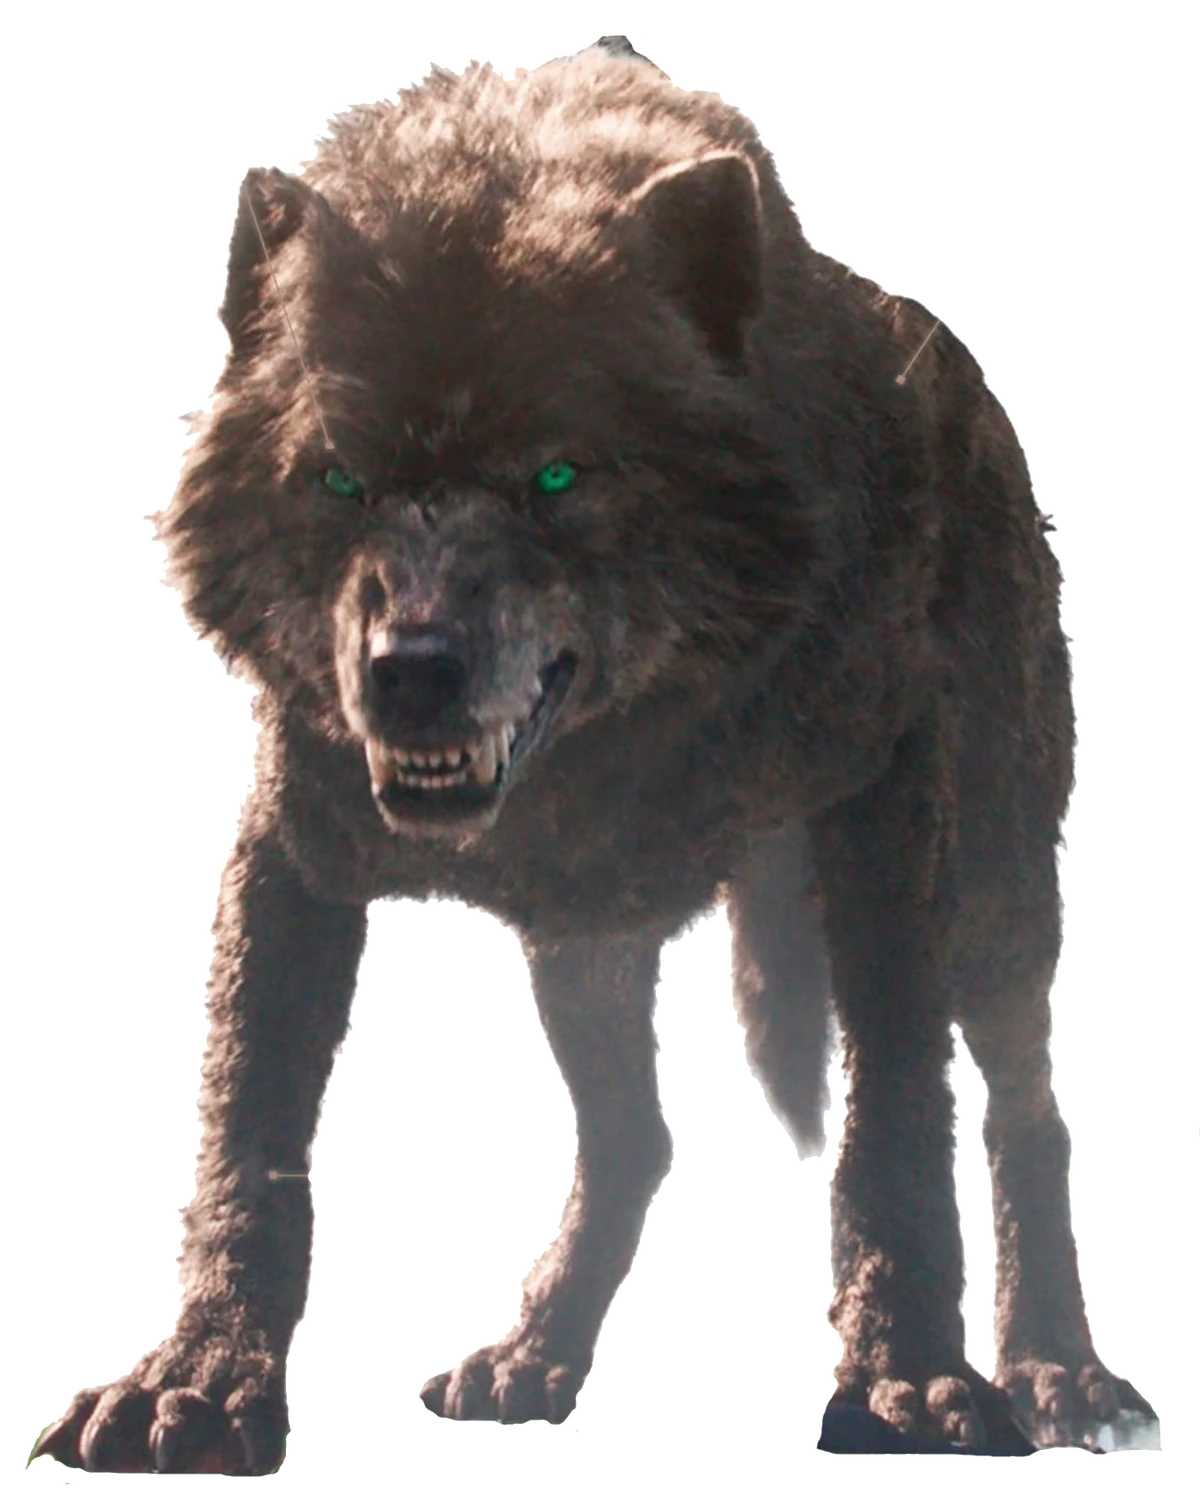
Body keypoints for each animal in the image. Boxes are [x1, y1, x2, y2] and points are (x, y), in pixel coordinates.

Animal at [36, 43, 1157, 1473]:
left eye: (557, 477)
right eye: (340, 480)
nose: (409, 669)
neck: (616, 755)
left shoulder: (881, 823)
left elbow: (896, 1124)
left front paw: (909, 1384)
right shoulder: (293, 851)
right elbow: (250, 1147)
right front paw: (194, 1387)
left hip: (997, 894)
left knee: (1023, 1105)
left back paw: (1061, 1373)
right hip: (581, 948)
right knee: (638, 1137)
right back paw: (535, 1359)